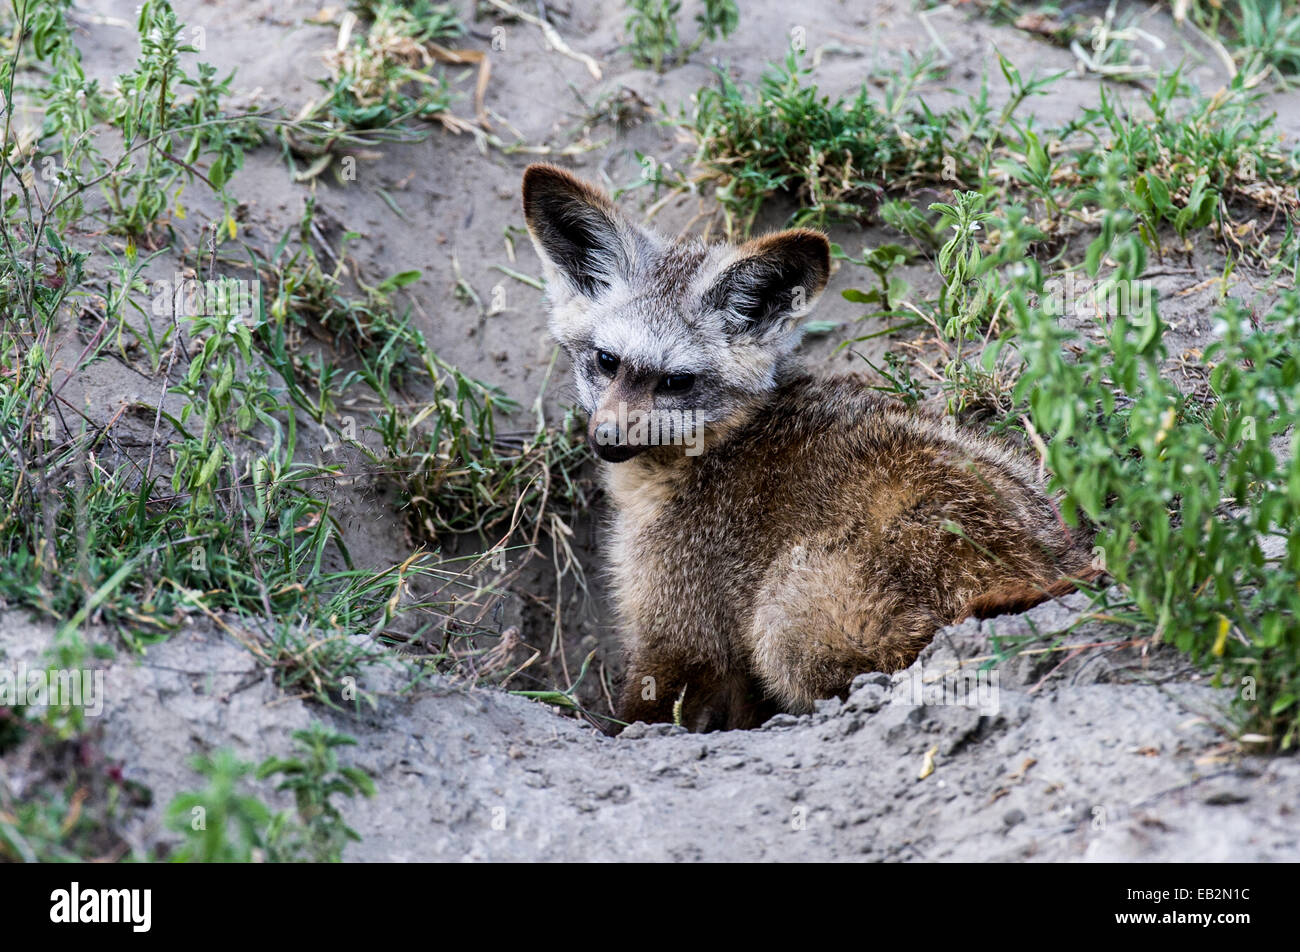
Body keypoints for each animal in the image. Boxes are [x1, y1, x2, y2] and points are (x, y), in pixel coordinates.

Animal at [521, 163, 1098, 732]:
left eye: (677, 382)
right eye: (606, 361)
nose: (609, 438)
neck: (719, 444)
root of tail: (1028, 567)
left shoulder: (680, 629)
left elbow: (641, 715)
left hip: (780, 615)